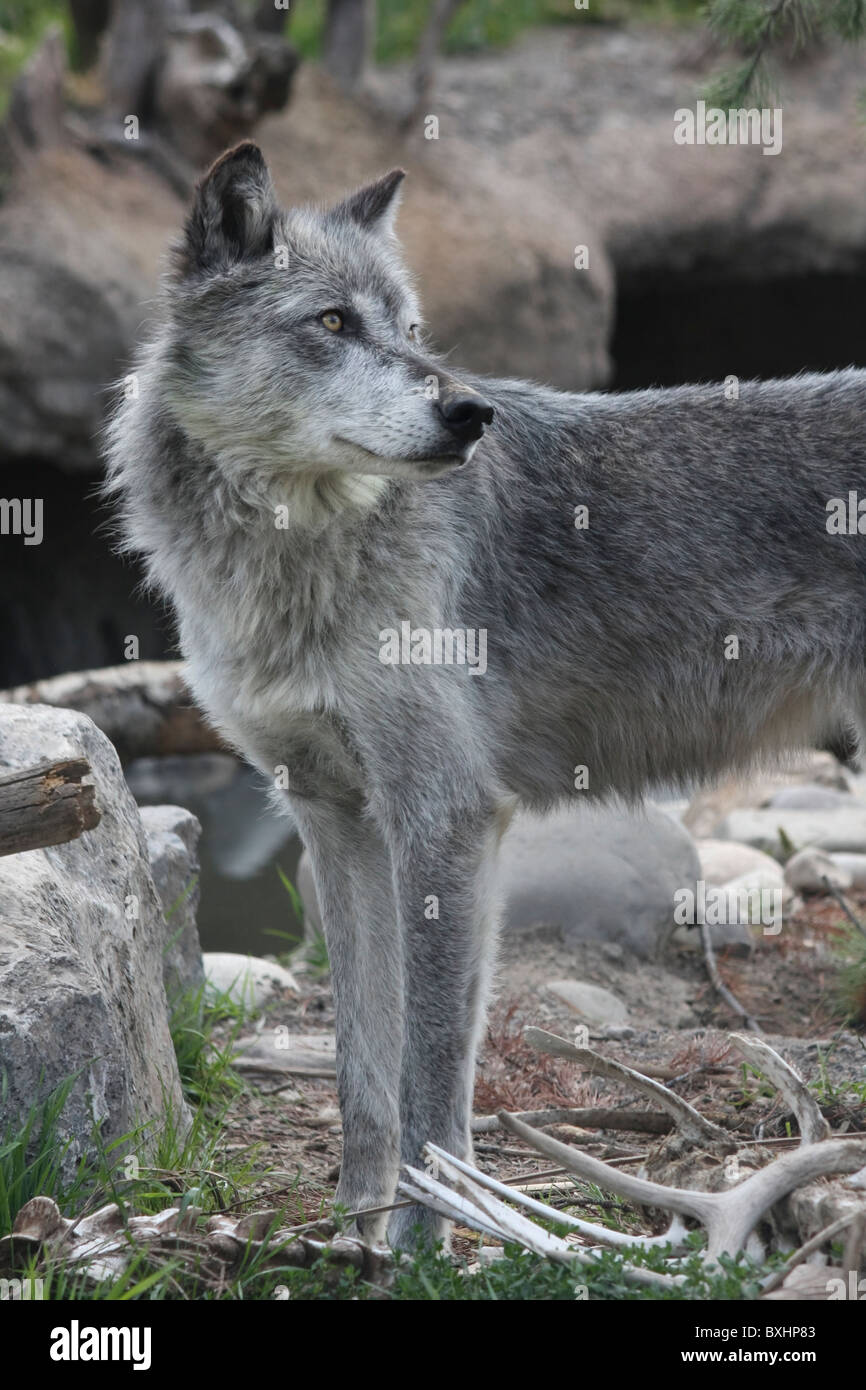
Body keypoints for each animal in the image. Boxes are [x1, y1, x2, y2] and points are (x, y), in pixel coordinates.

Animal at [106, 141, 866, 1248]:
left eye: (412, 330)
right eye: (332, 324)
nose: (469, 413)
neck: (301, 552)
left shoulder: (446, 818)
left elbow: (431, 1078)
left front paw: (425, 1246)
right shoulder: (333, 820)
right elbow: (363, 1075)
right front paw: (354, 1235)